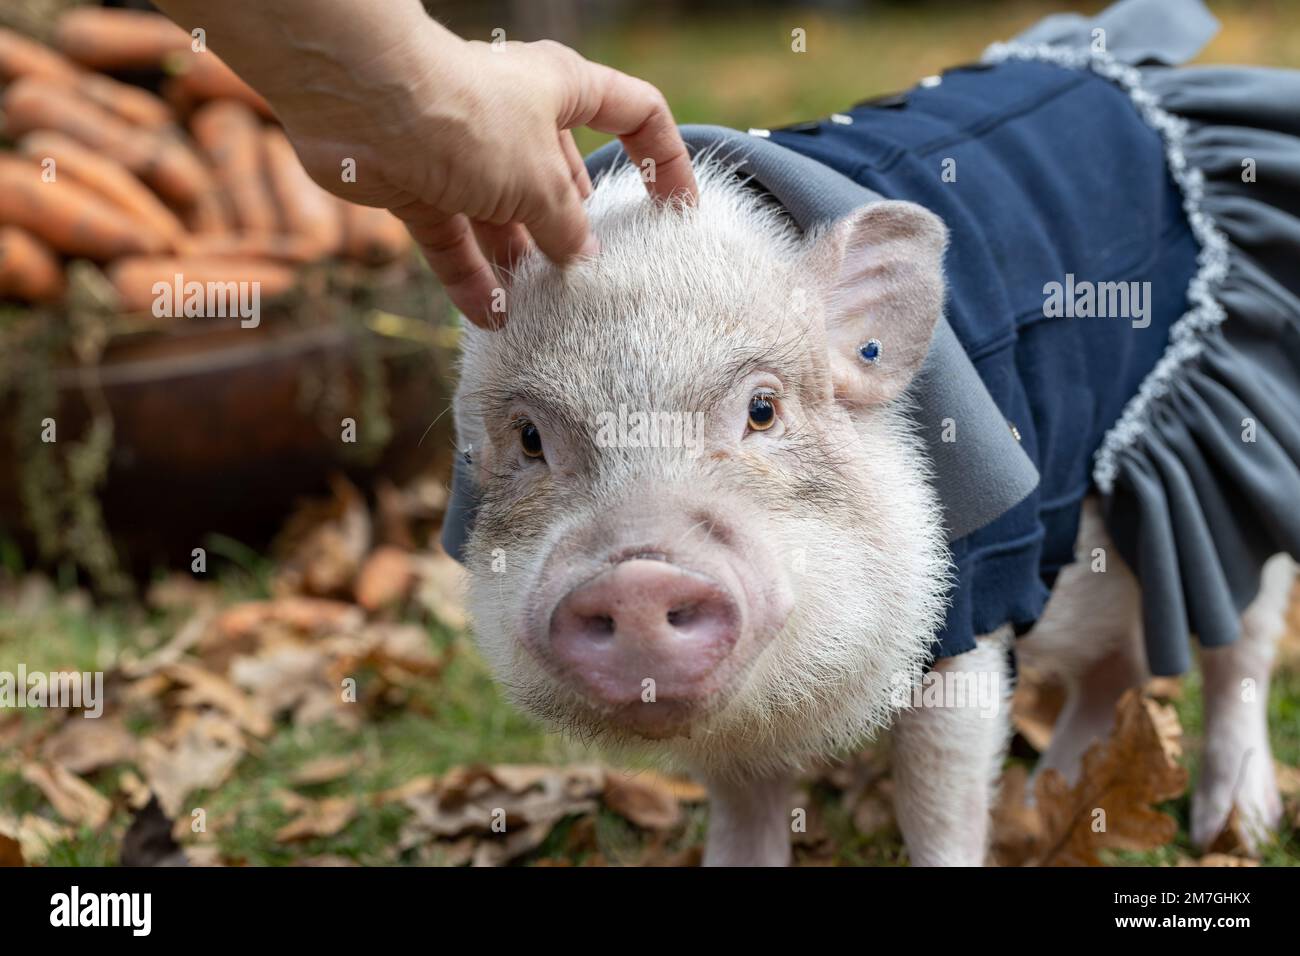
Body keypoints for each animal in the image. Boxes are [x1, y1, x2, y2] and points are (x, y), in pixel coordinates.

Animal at [450, 157, 1294, 866]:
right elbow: (744, 812)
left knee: (1241, 650)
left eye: (762, 409)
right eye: (530, 438)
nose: (636, 577)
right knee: (1114, 668)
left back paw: (1236, 829)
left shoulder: (966, 611)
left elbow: (937, 799)